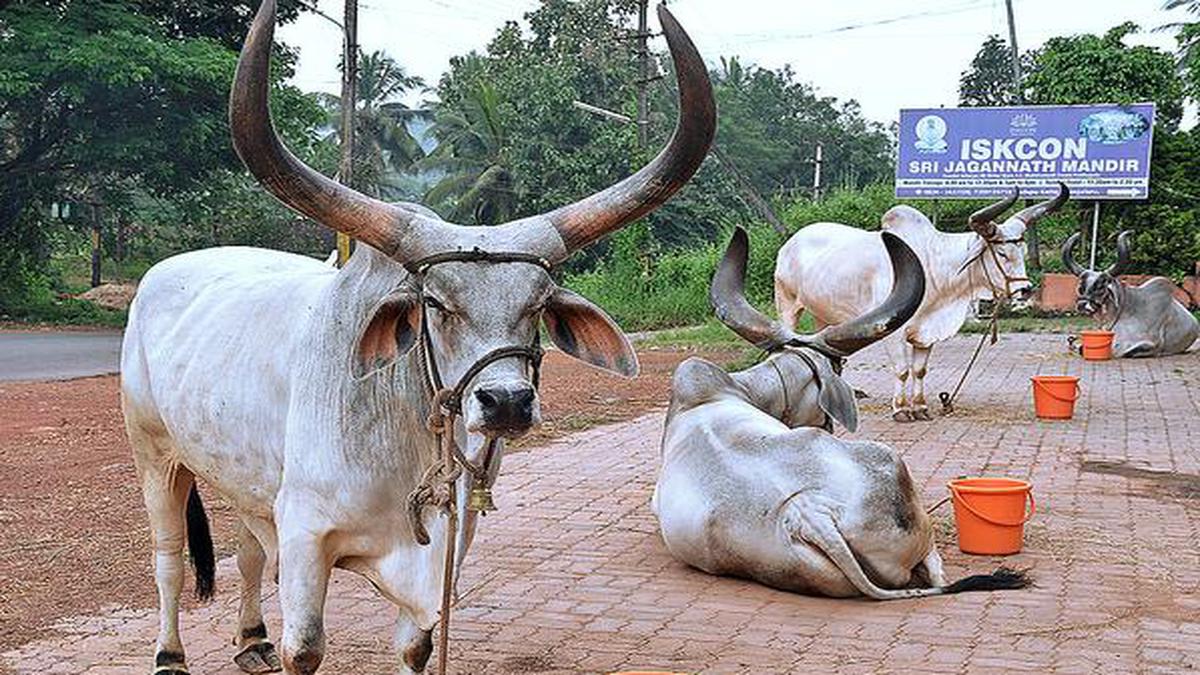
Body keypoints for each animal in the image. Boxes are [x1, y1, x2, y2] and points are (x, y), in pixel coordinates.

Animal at [120, 1, 715, 672]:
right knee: (169, 560)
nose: (506, 403)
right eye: (435, 302)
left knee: (247, 550)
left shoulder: (444, 551)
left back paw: (251, 639)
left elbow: (418, 643)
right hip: (153, 451)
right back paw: (169, 652)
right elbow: (305, 648)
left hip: (241, 474)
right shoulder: (303, 535)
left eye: (538, 302)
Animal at [772, 181, 1075, 417]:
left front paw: (919, 407)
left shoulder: (926, 332)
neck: (933, 267)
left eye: (1021, 251)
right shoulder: (892, 331)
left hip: (823, 314)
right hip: (787, 303)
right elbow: (903, 370)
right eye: (1001, 254)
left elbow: (919, 370)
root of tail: (791, 242)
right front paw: (900, 409)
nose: (1025, 290)